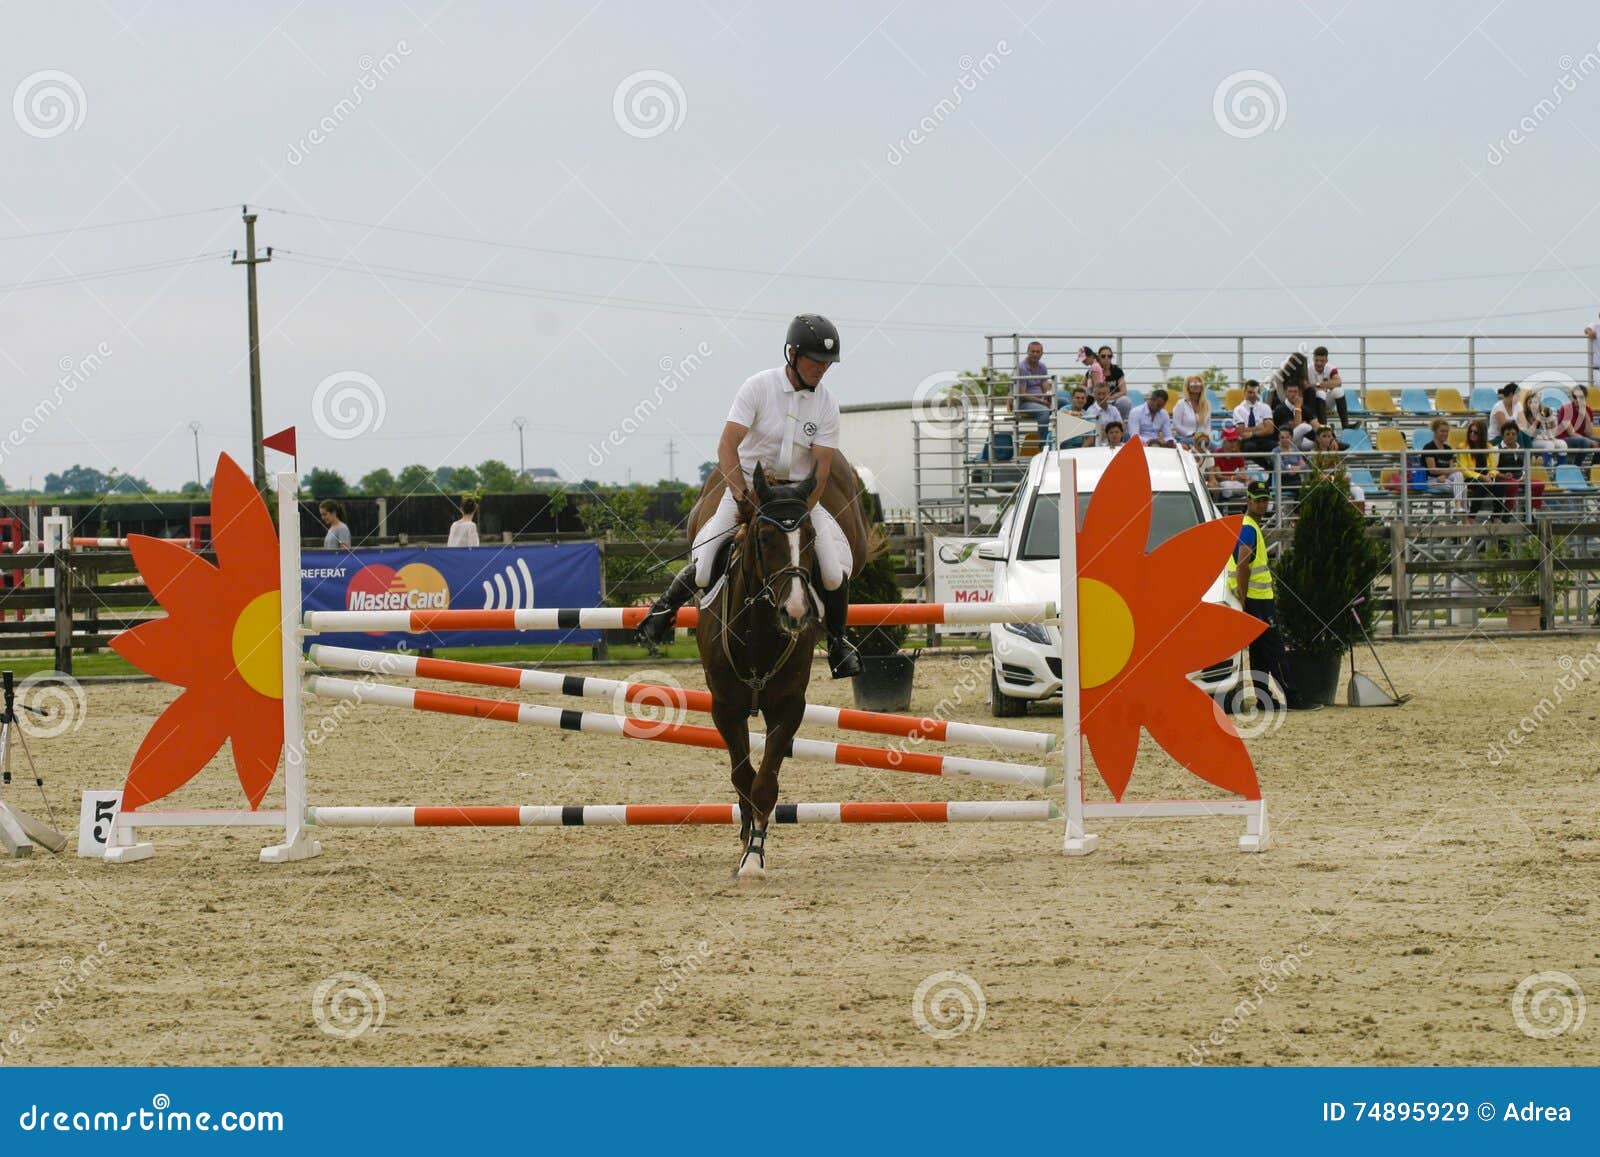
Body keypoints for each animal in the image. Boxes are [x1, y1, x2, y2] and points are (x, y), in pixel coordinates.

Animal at [688, 456, 875, 880]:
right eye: (764, 537)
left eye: (809, 537)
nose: (795, 611)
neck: (758, 633)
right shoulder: (725, 708)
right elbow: (743, 776)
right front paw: (746, 837)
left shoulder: (789, 708)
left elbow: (765, 784)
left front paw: (754, 854)